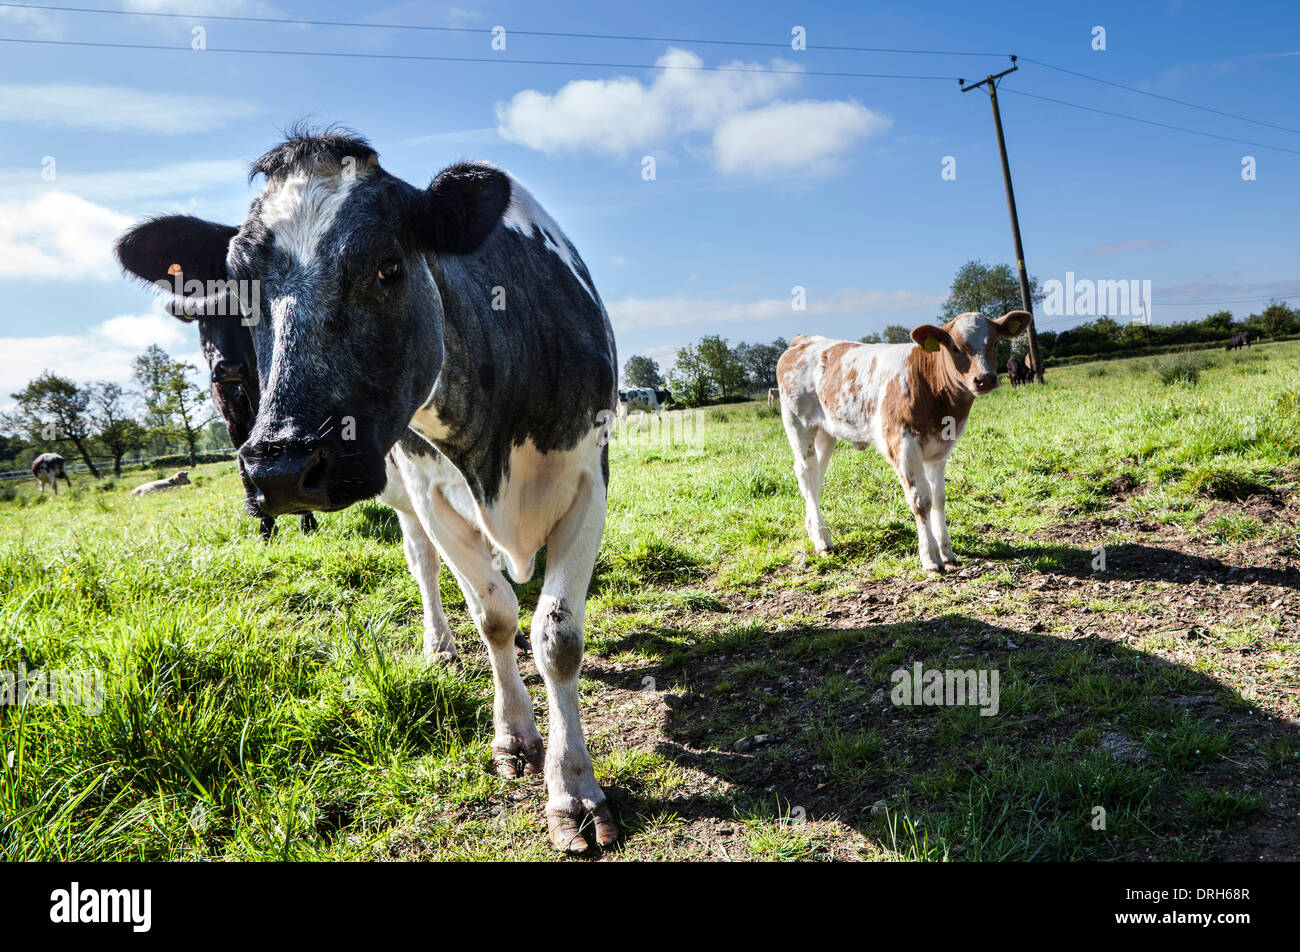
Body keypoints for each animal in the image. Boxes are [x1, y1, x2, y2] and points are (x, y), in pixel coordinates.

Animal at [198, 313, 318, 539]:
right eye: (204, 320)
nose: (231, 369)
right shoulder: (234, 423)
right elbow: (247, 471)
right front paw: (266, 529)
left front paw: (307, 522)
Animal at [776, 310, 1029, 574]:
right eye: (954, 347)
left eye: (995, 342)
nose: (985, 378)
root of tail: (803, 340)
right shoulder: (903, 444)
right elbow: (922, 501)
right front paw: (930, 559)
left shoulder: (940, 450)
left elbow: (939, 499)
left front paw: (947, 553)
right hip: (798, 424)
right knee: (806, 473)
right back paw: (823, 541)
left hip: (826, 432)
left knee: (816, 477)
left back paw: (815, 531)